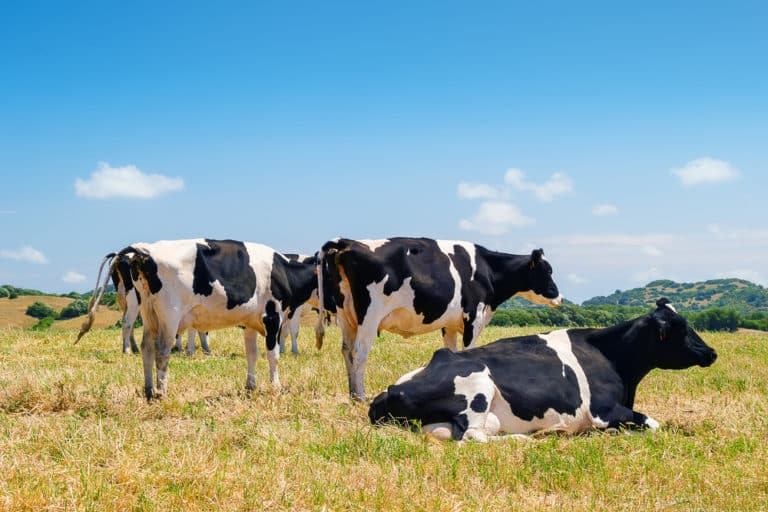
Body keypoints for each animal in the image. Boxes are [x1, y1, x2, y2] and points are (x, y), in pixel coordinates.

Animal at [78, 239, 321, 400]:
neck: (283, 270)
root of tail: (143, 250)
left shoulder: (250, 322)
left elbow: (251, 354)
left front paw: (250, 386)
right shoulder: (272, 316)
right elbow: (274, 354)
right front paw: (276, 385)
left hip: (149, 313)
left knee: (147, 347)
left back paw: (148, 389)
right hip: (168, 313)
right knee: (160, 349)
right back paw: (161, 390)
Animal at [317, 237, 563, 400]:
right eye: (548, 271)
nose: (560, 298)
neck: (487, 269)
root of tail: (345, 242)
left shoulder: (450, 324)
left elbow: (452, 353)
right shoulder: (474, 317)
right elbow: (469, 352)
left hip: (346, 315)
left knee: (346, 350)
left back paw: (352, 394)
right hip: (369, 315)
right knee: (359, 352)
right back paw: (361, 395)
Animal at [369, 298, 718, 442]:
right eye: (681, 328)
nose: (712, 352)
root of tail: (391, 389)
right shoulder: (604, 410)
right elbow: (653, 423)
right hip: (478, 388)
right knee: (474, 436)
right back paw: (532, 438)